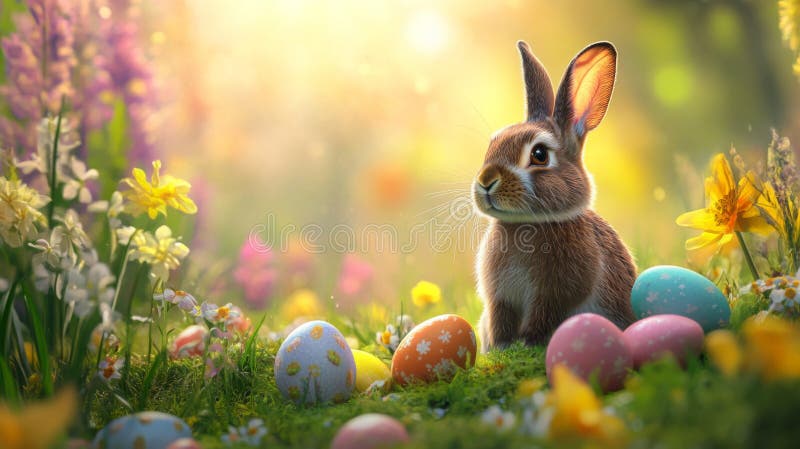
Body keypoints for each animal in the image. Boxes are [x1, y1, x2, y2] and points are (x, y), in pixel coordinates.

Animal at [473, 41, 636, 352]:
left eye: (539, 154)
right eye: (492, 145)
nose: (486, 182)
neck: (526, 224)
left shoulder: (555, 292)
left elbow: (543, 316)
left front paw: (526, 343)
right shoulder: (499, 297)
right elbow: (500, 321)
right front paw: (501, 349)